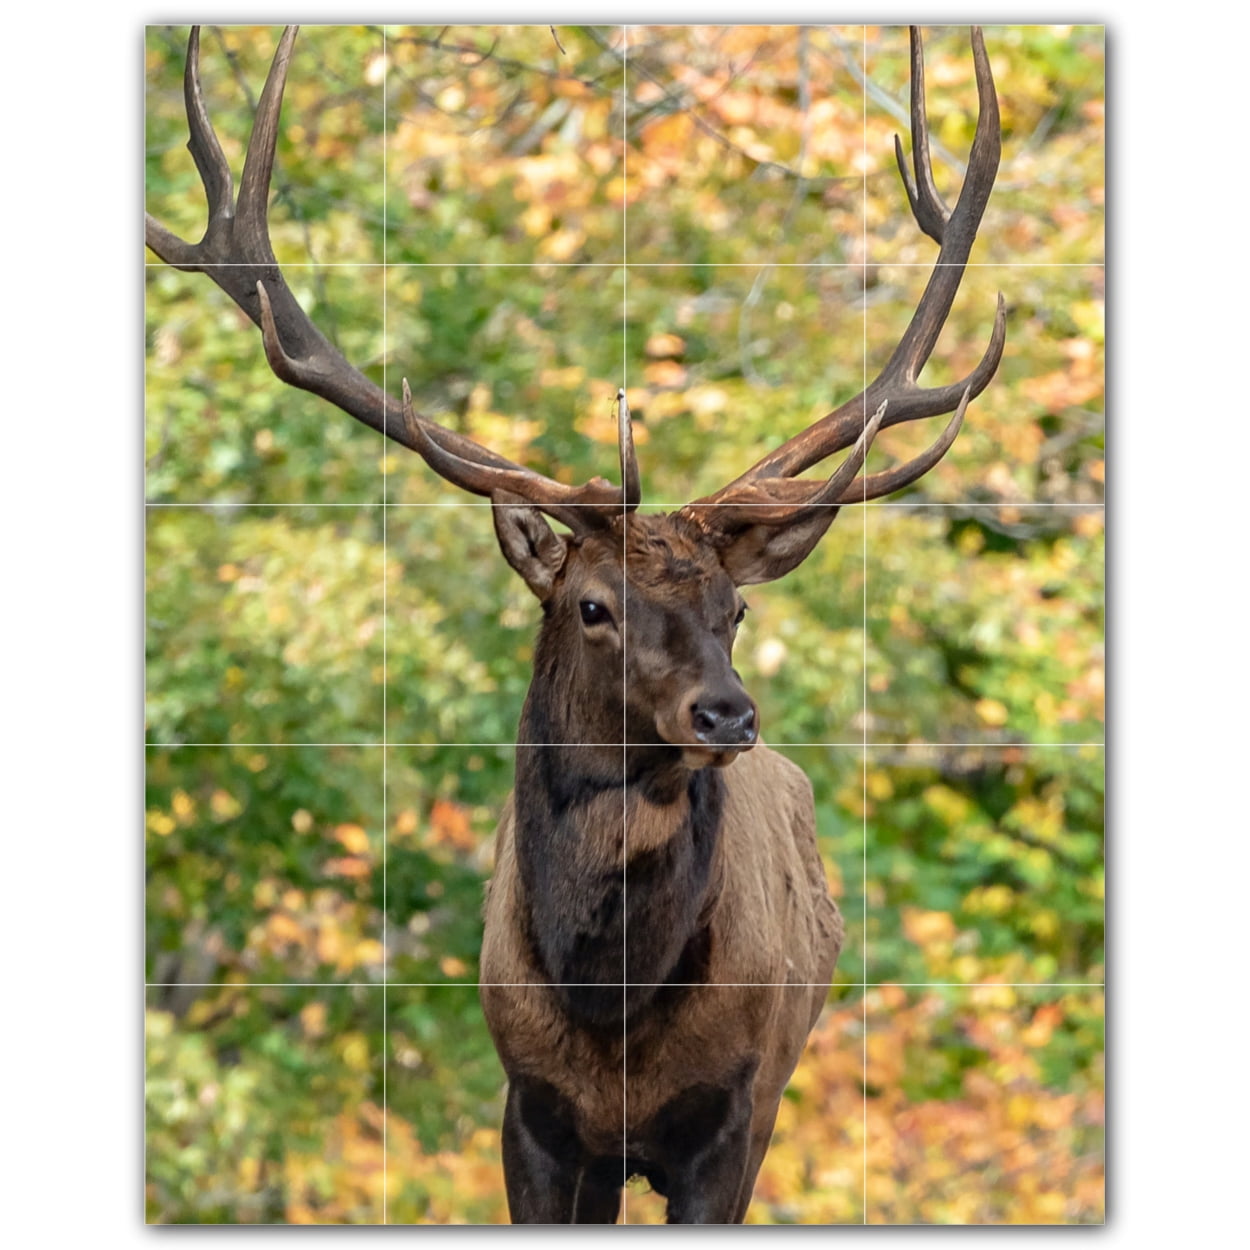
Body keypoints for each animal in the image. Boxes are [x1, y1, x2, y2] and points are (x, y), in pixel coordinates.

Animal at [146, 25, 1003, 1224]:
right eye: (592, 605)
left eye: (734, 607)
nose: (727, 714)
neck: (610, 1005)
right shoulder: (533, 1119)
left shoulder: (730, 1119)